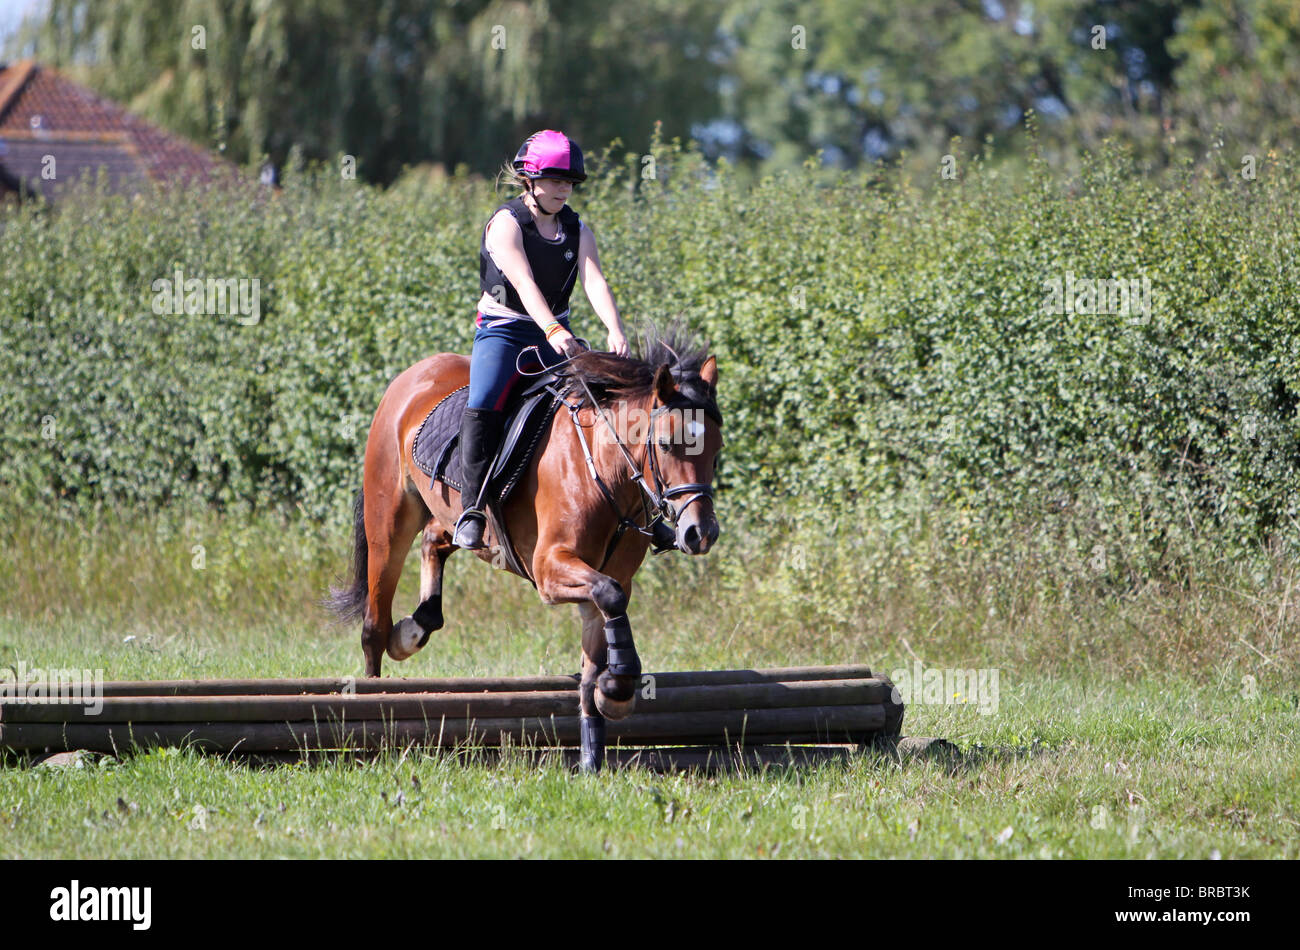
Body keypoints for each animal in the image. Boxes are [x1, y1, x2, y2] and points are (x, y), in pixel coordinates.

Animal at [326, 329, 723, 771]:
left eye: (717, 450)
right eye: (668, 445)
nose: (700, 534)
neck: (603, 467)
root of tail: (413, 373)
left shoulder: (608, 577)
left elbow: (599, 641)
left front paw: (593, 749)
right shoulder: (550, 569)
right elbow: (610, 596)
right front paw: (619, 689)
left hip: (452, 515)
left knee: (436, 540)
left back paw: (414, 629)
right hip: (389, 520)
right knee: (374, 625)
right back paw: (374, 697)